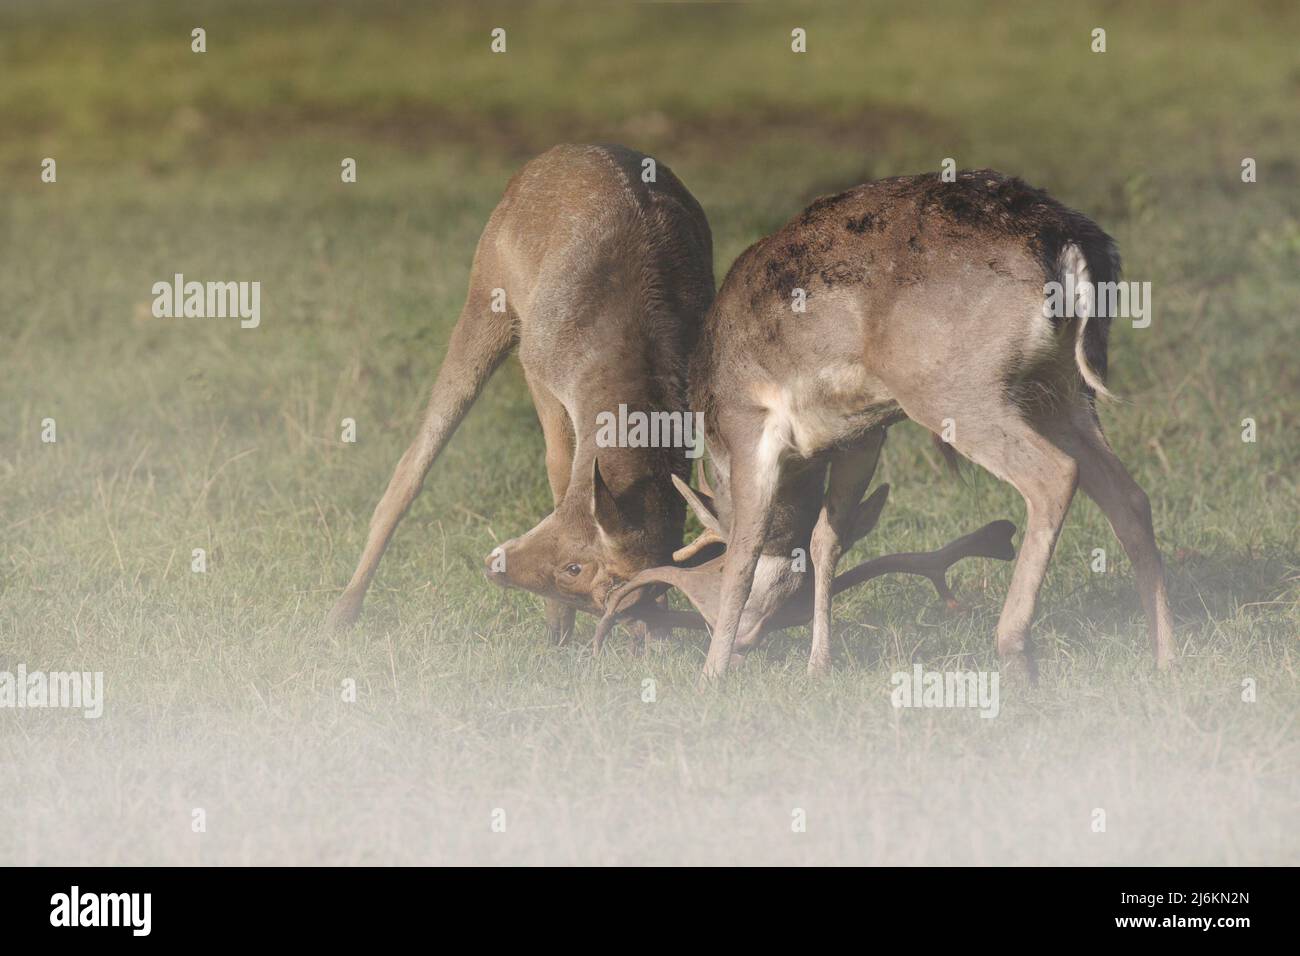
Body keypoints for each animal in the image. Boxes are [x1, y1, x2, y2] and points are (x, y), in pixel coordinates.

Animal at [324, 144, 715, 643]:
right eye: (574, 568)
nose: (496, 566)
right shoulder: (540, 366)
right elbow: (559, 466)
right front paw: (556, 629)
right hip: (487, 290)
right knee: (416, 456)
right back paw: (341, 612)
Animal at [598, 169, 1176, 682]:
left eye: (708, 583)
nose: (744, 642)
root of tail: (1072, 244)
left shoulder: (750, 425)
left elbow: (746, 551)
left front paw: (710, 676)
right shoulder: (863, 433)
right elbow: (824, 540)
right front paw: (818, 666)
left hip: (953, 387)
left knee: (1055, 474)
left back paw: (1014, 649)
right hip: (1060, 390)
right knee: (1129, 496)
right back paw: (1165, 656)